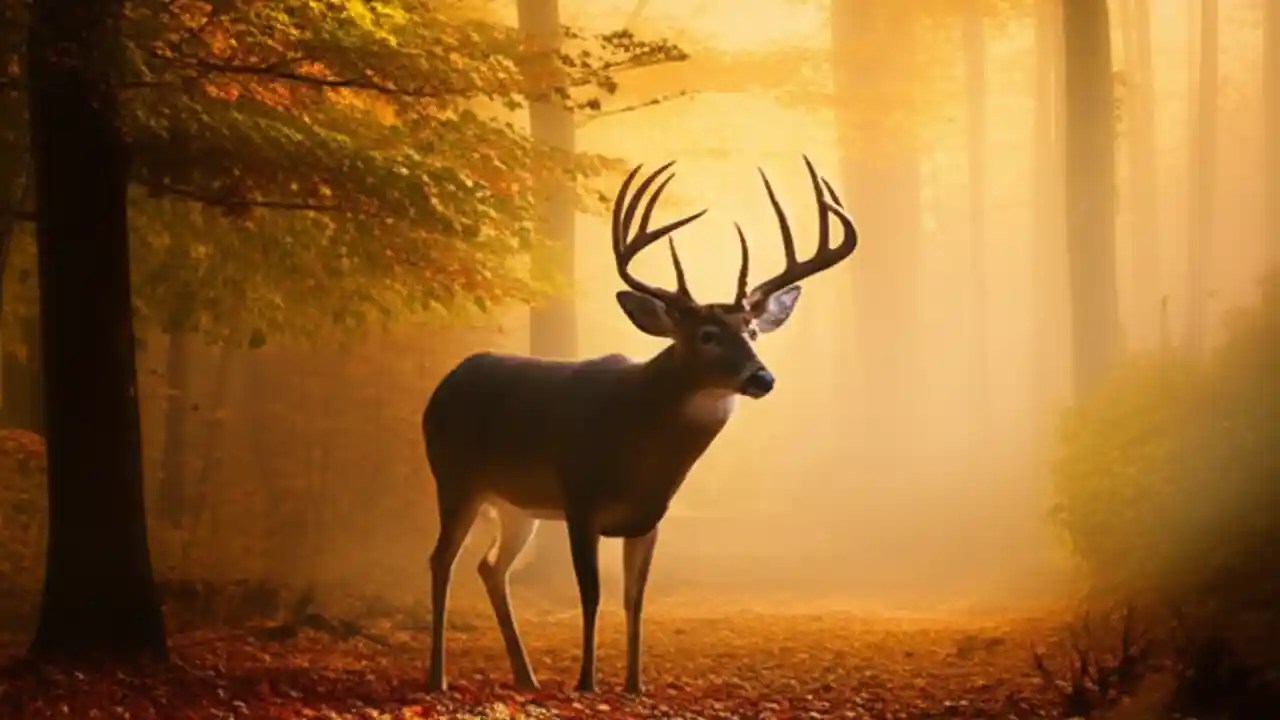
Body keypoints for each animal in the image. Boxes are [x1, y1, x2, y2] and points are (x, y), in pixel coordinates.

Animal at [422, 156, 858, 695]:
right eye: (707, 334)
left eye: (754, 331)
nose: (762, 377)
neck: (636, 444)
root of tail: (445, 383)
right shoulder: (580, 498)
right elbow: (591, 594)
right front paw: (587, 682)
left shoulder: (649, 517)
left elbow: (635, 599)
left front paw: (635, 684)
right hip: (454, 477)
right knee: (442, 560)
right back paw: (437, 677)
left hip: (516, 505)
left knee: (490, 567)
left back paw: (527, 677)